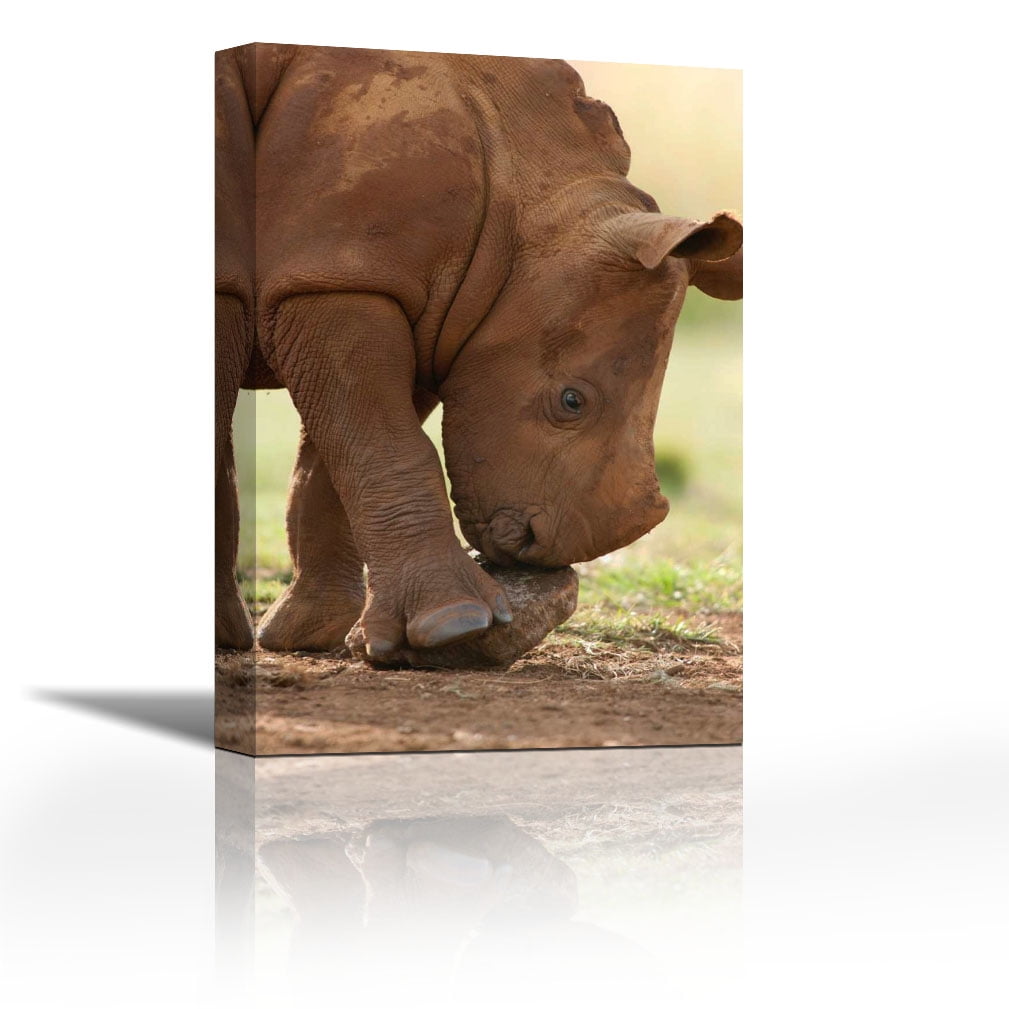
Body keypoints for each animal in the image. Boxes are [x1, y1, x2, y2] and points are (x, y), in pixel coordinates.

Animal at [215, 44, 742, 656]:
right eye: (570, 402)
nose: (548, 544)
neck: (521, 204)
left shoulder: (409, 300)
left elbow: (342, 452)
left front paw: (308, 635)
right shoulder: (334, 277)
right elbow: (383, 441)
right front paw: (455, 624)